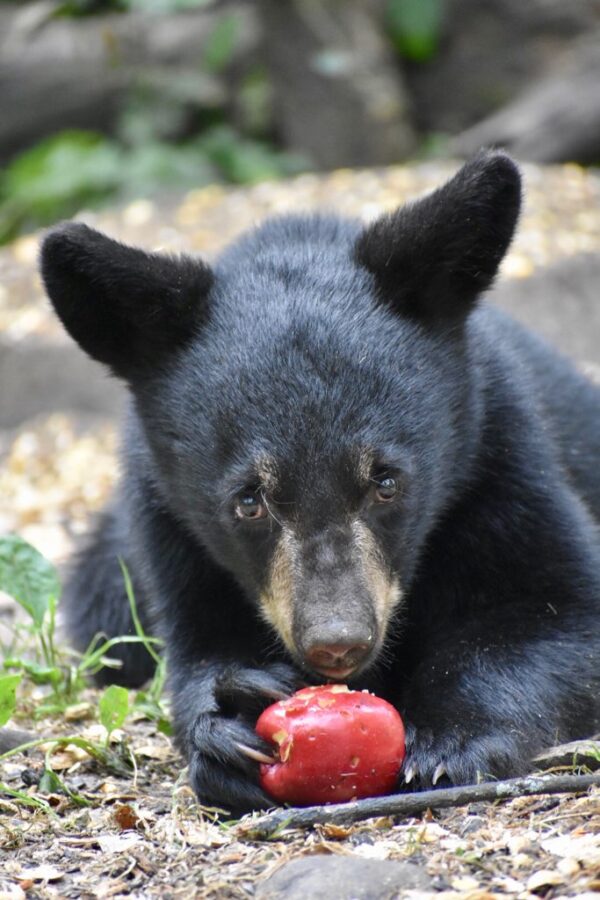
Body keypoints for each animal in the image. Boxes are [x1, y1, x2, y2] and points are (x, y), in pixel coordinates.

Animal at [40, 151, 600, 813]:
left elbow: (558, 608)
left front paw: (452, 741)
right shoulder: (166, 524)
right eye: (249, 501)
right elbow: (193, 641)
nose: (338, 644)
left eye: (387, 482)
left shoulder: (501, 452)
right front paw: (230, 716)